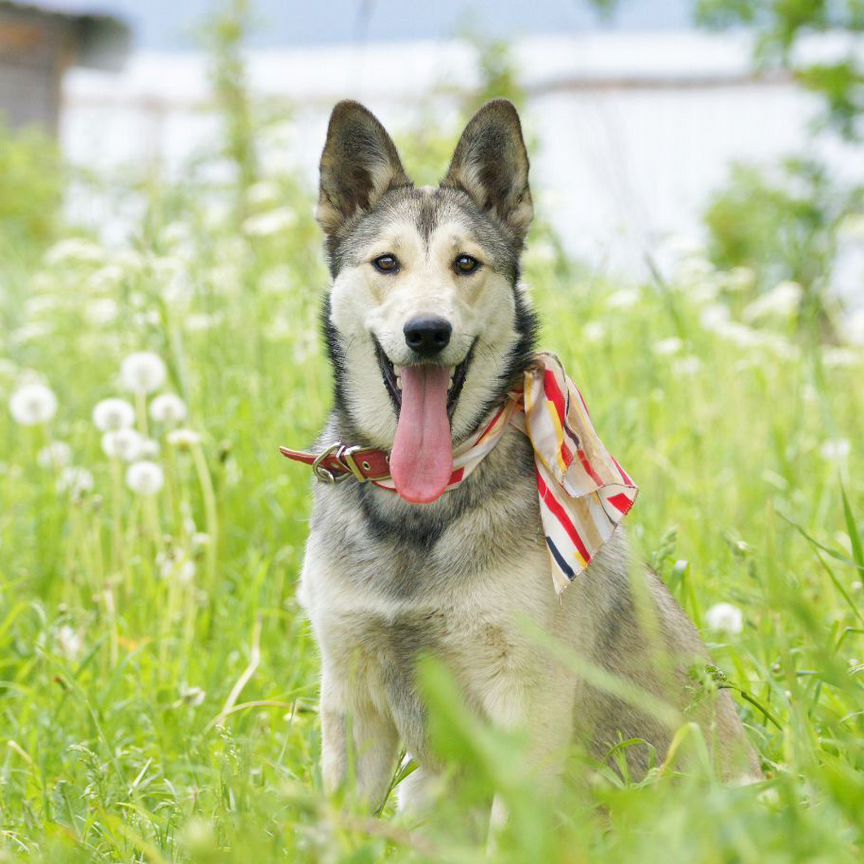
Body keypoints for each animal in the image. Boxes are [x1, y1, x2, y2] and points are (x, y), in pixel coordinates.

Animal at [292, 98, 764, 812]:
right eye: (386, 264)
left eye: (466, 264)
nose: (427, 332)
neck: (421, 509)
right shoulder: (352, 700)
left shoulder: (525, 704)